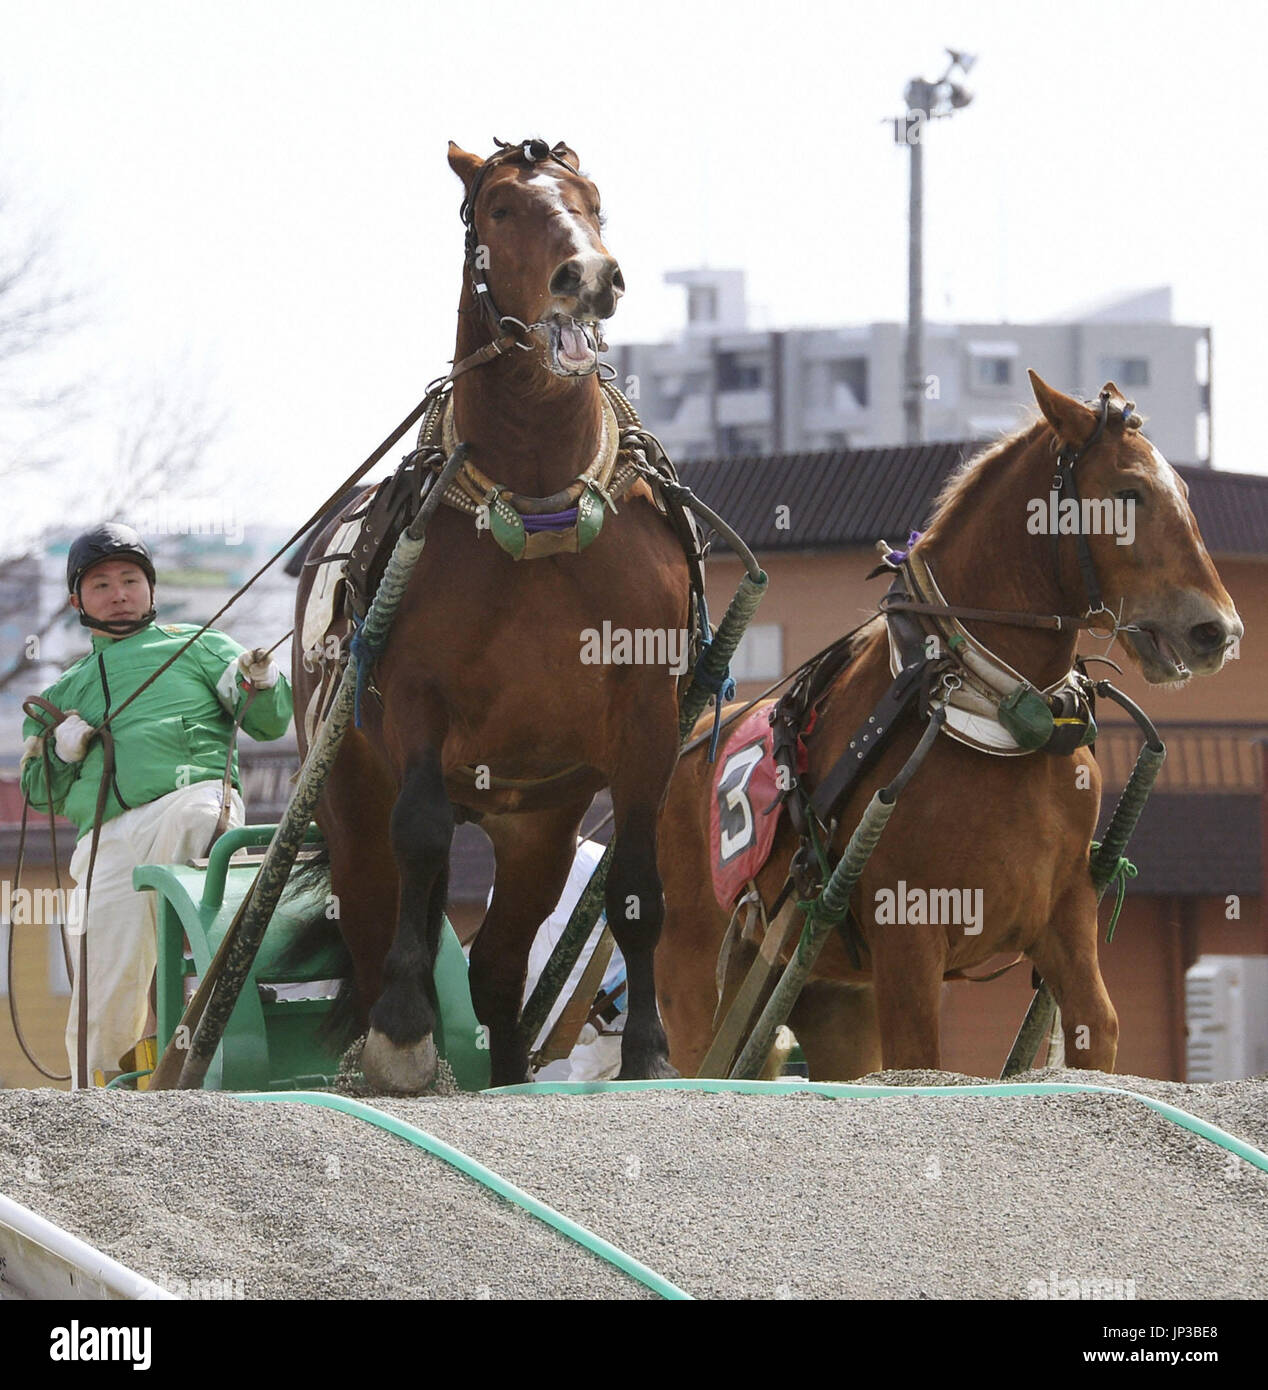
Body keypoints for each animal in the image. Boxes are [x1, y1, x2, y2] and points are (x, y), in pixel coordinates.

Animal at [293, 139, 691, 1091]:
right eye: (503, 209)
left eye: (593, 201)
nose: (588, 276)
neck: (541, 502)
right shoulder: (415, 700)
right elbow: (422, 835)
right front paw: (404, 1036)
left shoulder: (647, 711)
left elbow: (636, 882)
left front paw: (648, 1050)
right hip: (348, 794)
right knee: (377, 910)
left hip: (536, 820)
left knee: (501, 963)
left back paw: (510, 1068)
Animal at [654, 370, 1243, 1079]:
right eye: (1129, 493)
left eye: (1181, 491)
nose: (1217, 630)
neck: (998, 717)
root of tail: (686, 753)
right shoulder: (907, 936)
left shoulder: (1065, 914)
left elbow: (1096, 1025)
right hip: (700, 976)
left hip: (829, 995)